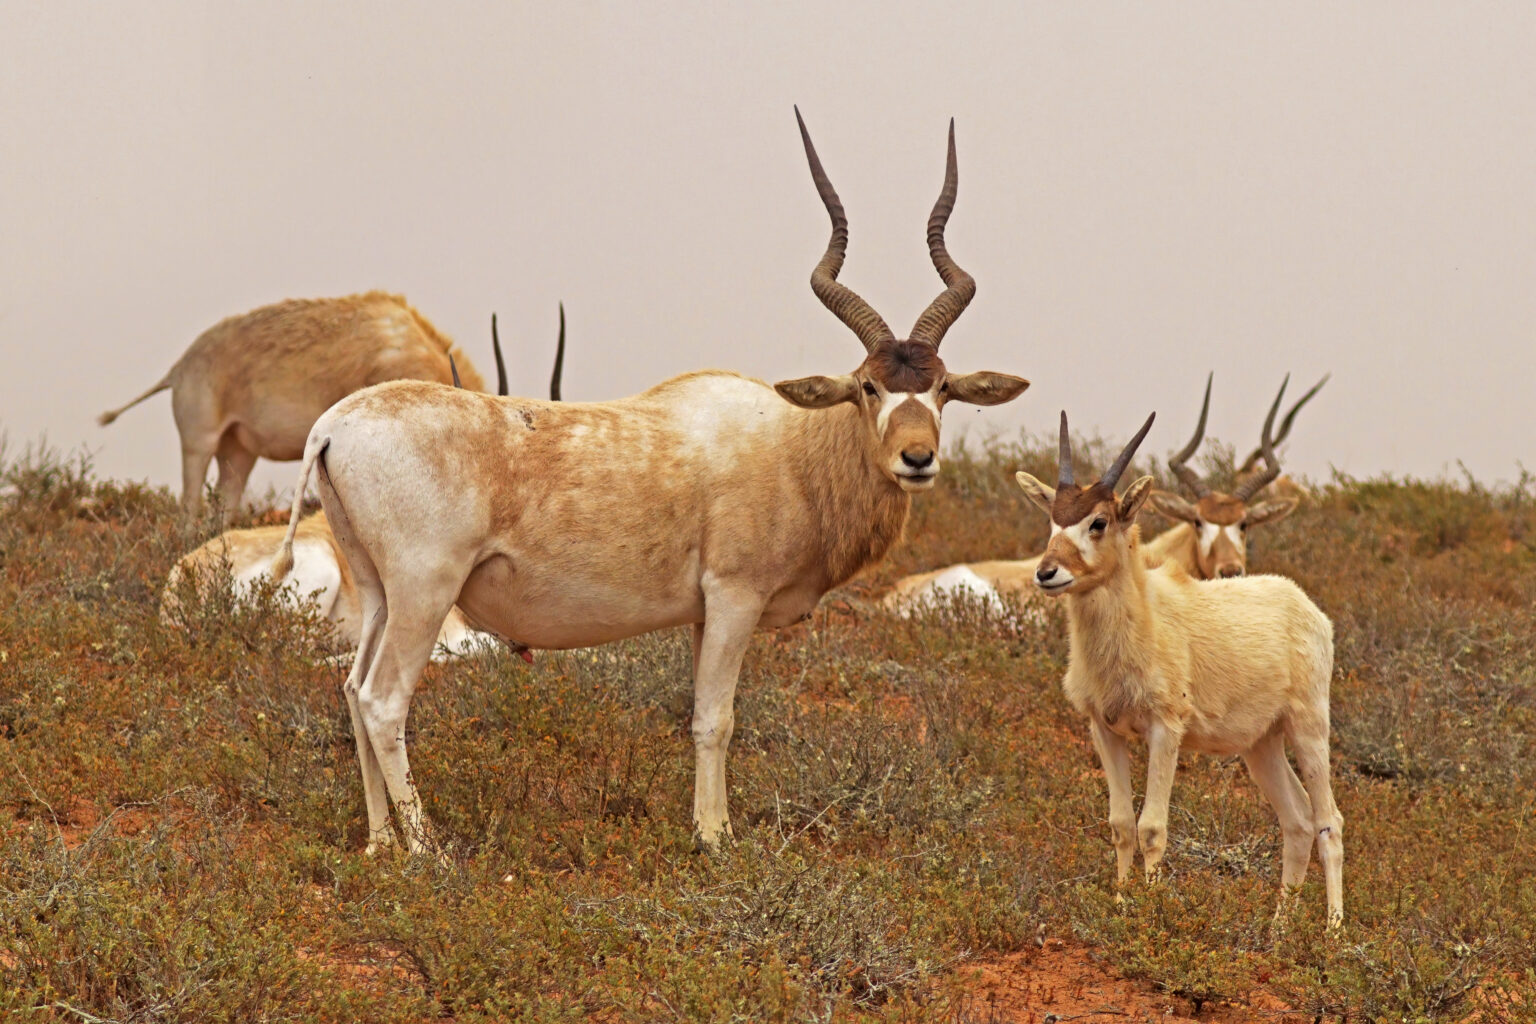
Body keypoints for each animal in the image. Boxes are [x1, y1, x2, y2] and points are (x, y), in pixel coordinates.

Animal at [271, 109, 1030, 856]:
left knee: (351, 688)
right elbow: (715, 718)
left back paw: (379, 844)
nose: (916, 458)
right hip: (426, 591)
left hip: (378, 592)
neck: (791, 446)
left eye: (942, 387)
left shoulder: (701, 614)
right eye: (870, 385)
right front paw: (717, 840)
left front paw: (707, 826)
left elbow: (702, 712)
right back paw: (426, 851)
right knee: (383, 700)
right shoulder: (734, 598)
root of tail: (333, 425)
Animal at [1016, 409, 1343, 925]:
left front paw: (1151, 911)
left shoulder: (1164, 729)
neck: (1141, 621)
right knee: (1298, 820)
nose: (1047, 572)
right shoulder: (1103, 729)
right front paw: (1121, 905)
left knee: (1330, 820)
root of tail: (1305, 606)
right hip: (1261, 745)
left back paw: (1333, 933)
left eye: (1098, 521)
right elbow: (1120, 823)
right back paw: (1279, 931)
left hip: (1308, 728)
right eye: (1053, 519)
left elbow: (1152, 826)